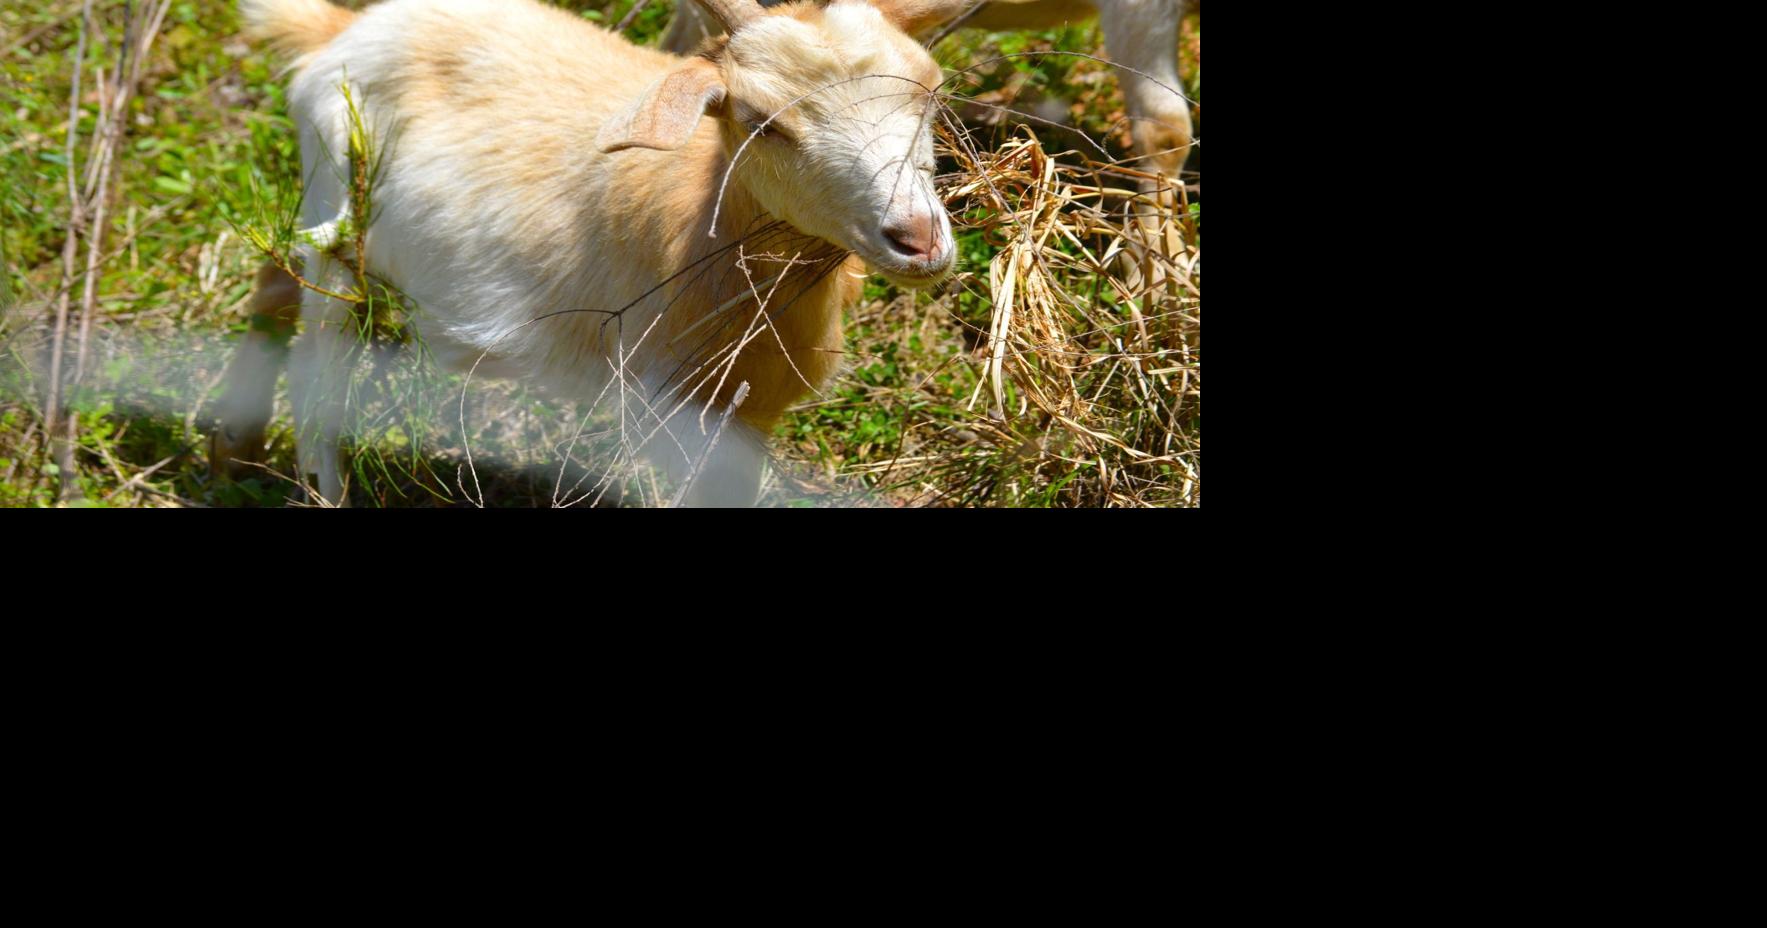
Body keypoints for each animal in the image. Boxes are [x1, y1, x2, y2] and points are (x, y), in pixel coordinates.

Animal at [216, 0, 956, 505]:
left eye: (930, 89)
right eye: (761, 123)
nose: (917, 238)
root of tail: (341, 27)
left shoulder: (752, 416)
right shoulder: (671, 411)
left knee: (271, 285)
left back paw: (232, 448)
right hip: (339, 198)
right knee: (318, 365)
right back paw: (318, 484)